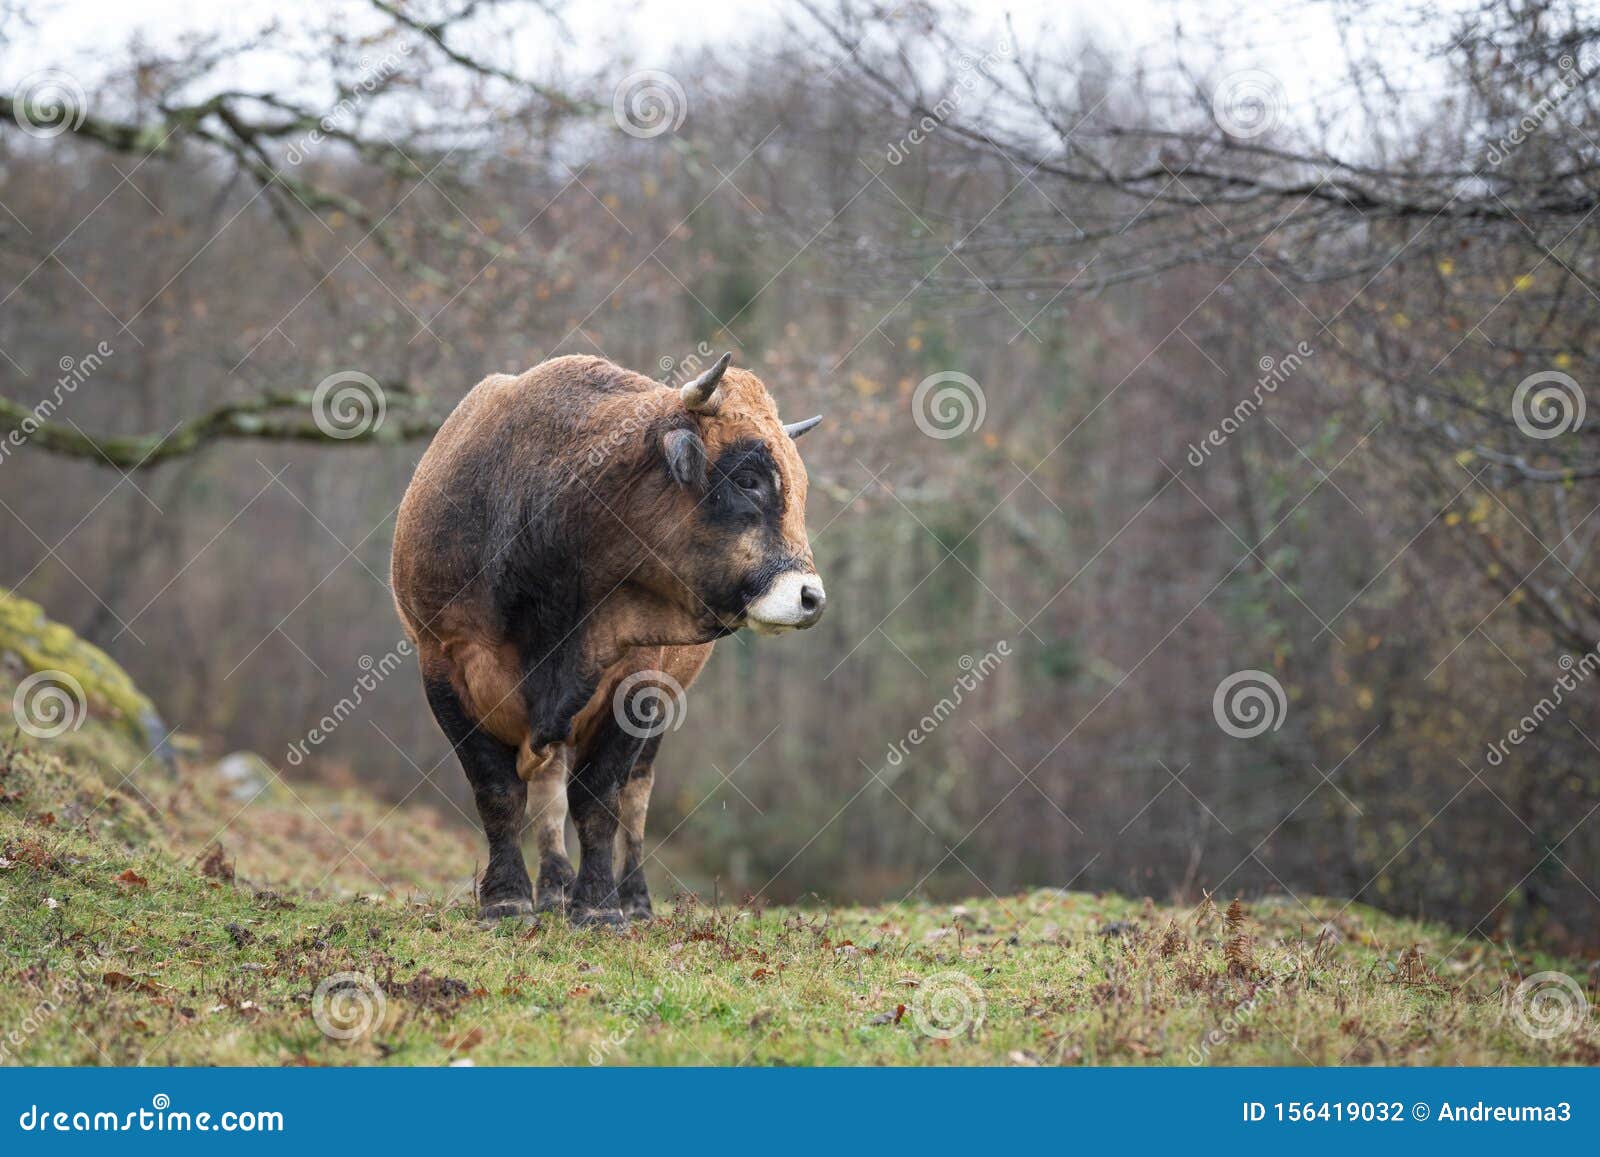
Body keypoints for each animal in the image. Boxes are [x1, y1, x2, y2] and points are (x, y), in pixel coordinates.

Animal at [390, 352, 825, 927]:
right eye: (748, 478)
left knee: (634, 798)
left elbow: (599, 798)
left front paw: (598, 906)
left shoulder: (635, 683)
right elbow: (498, 790)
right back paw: (553, 887)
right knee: (549, 788)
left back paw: (632, 898)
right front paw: (507, 898)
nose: (810, 597)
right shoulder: (441, 661)